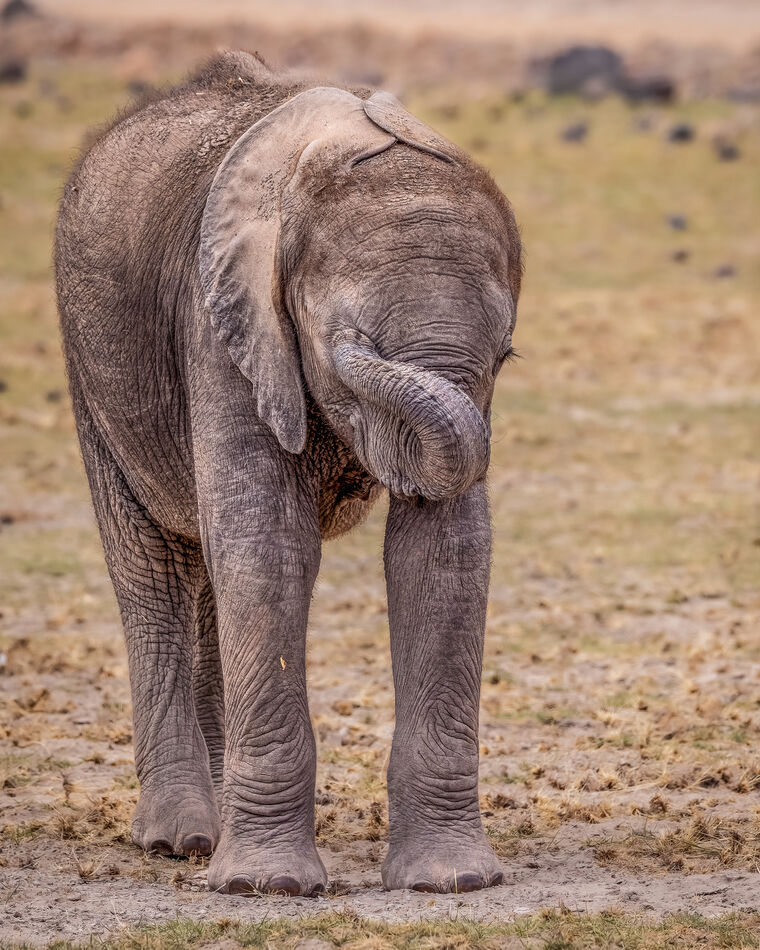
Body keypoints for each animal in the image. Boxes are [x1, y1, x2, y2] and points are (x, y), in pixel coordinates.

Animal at [54, 50, 522, 897]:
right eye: (348, 343)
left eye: (505, 356)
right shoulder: (222, 322)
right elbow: (269, 546)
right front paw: (265, 888)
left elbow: (442, 552)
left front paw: (450, 883)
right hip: (92, 365)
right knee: (154, 569)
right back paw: (181, 840)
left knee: (208, 567)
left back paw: (209, 835)